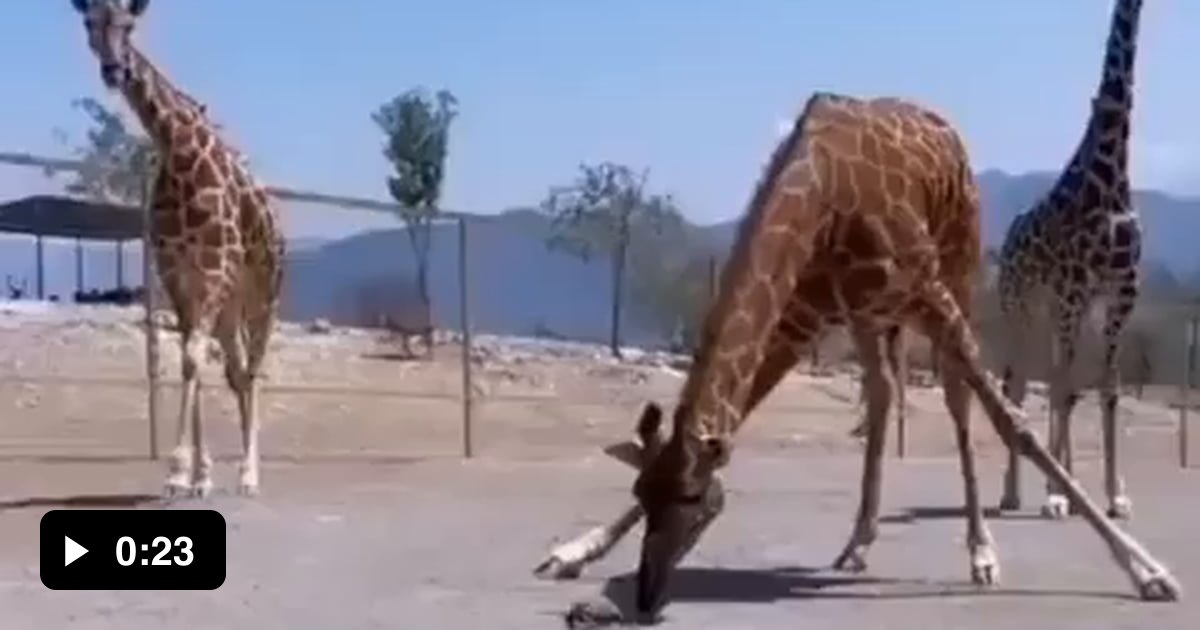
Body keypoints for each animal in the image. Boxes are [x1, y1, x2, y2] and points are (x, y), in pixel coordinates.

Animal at [70, 0, 285, 497]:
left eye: (129, 26)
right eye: (90, 24)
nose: (113, 69)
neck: (179, 151)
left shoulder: (212, 266)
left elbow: (191, 359)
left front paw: (176, 471)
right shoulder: (175, 271)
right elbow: (191, 360)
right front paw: (196, 476)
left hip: (263, 296)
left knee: (254, 370)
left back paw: (250, 474)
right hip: (230, 305)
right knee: (236, 370)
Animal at [534, 93, 1179, 618]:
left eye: (695, 500)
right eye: (641, 495)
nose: (646, 596)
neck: (819, 191)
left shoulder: (924, 290)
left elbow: (1013, 425)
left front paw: (1148, 571)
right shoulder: (804, 312)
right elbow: (742, 409)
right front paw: (574, 550)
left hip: (960, 267)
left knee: (956, 397)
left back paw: (980, 551)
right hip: (871, 314)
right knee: (884, 391)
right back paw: (857, 541)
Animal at [997, 0, 1144, 521]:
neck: (1113, 174)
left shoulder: (1120, 295)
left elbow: (1108, 388)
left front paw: (1114, 496)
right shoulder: (1074, 289)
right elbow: (1061, 389)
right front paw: (1058, 495)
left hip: (1055, 311)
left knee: (1057, 378)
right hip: (1020, 305)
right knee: (1018, 384)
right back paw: (1014, 492)